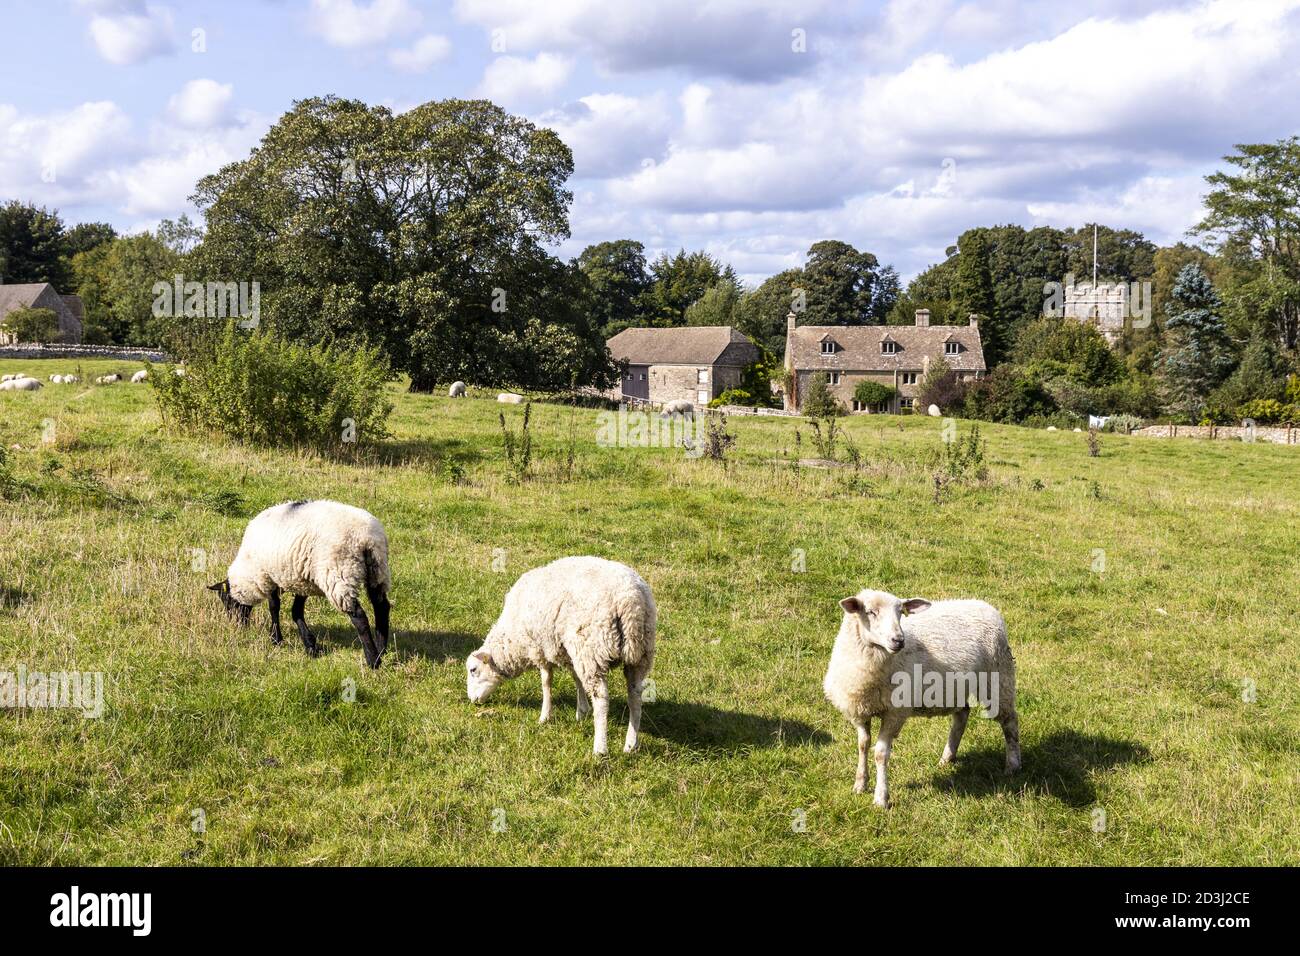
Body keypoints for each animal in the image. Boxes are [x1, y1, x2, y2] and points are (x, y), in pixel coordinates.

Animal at [208, 499, 392, 669]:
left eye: (226, 601)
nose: (237, 627)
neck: (248, 568)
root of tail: (366, 537)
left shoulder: (269, 576)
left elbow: (274, 607)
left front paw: (276, 639)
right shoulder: (301, 579)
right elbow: (296, 611)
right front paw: (310, 645)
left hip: (339, 574)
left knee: (359, 616)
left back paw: (372, 660)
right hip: (378, 571)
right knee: (382, 607)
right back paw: (381, 649)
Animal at [466, 556, 656, 756]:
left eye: (473, 670)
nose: (472, 700)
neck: (513, 639)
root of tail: (630, 602)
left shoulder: (540, 648)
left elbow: (546, 681)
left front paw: (545, 716)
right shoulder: (567, 649)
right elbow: (576, 678)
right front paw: (582, 711)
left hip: (591, 651)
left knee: (602, 699)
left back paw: (600, 748)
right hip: (640, 654)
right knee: (635, 697)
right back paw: (631, 745)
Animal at [823, 589, 1019, 807]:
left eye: (901, 612)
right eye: (870, 612)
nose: (899, 640)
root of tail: (986, 606)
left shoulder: (895, 713)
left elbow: (880, 754)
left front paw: (881, 797)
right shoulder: (859, 710)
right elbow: (863, 745)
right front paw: (860, 784)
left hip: (998, 678)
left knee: (1010, 721)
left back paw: (1012, 765)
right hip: (956, 687)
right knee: (962, 715)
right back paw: (947, 757)